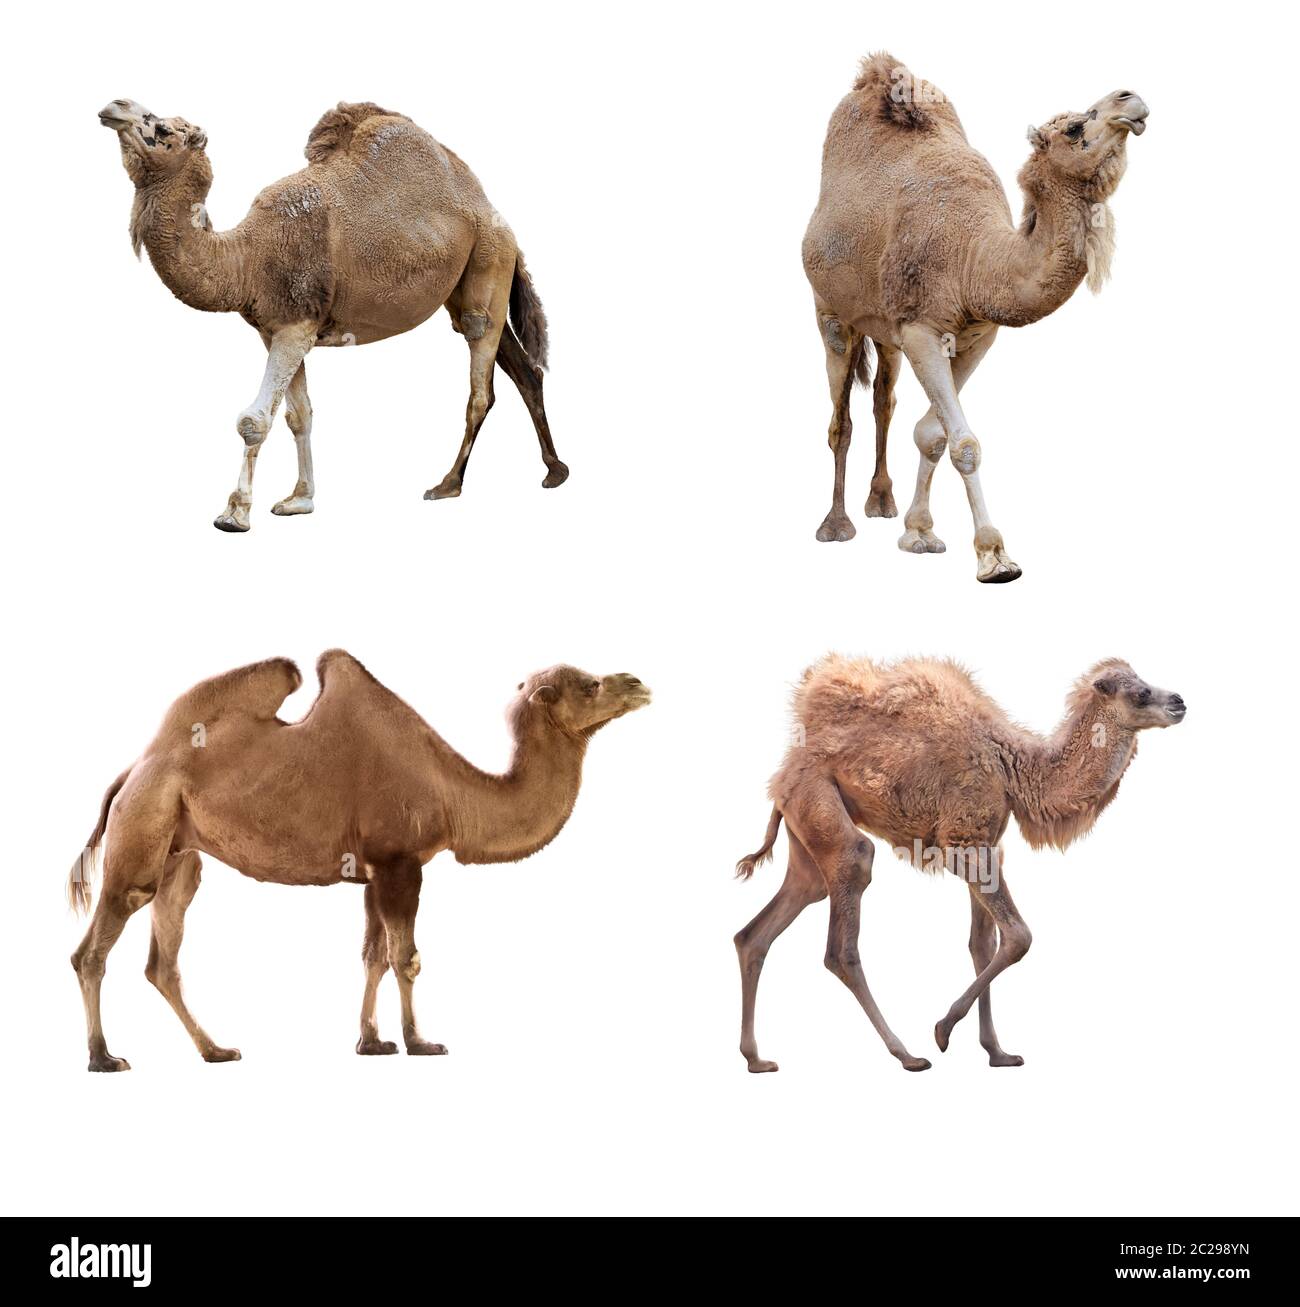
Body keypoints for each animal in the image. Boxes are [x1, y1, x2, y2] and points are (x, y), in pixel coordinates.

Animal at [67, 652, 650, 1071]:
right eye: (590, 685)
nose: (638, 683)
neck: (453, 793)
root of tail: (131, 772)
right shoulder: (401, 864)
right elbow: (406, 957)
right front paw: (420, 1042)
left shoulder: (371, 872)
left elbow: (373, 956)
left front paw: (371, 1042)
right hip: (142, 829)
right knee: (96, 944)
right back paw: (103, 1058)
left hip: (180, 854)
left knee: (163, 957)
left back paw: (216, 1051)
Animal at [98, 99, 566, 531]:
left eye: (162, 128)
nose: (114, 107)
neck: (248, 258)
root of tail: (492, 212)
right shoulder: (277, 329)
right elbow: (298, 415)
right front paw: (299, 499)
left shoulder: (296, 326)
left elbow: (254, 420)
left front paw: (235, 513)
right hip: (468, 283)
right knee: (525, 371)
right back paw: (554, 472)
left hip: (489, 258)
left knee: (479, 381)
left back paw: (447, 484)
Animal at [733, 656, 1184, 1072]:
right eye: (1140, 692)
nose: (1179, 701)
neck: (1015, 771)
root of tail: (783, 778)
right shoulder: (963, 843)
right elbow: (1018, 937)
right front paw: (943, 1029)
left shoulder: (987, 848)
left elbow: (981, 946)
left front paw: (997, 1053)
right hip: (825, 812)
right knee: (842, 937)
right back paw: (907, 1055)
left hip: (806, 834)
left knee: (758, 931)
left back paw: (756, 1058)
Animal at [802, 55, 1149, 582]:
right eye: (1074, 126)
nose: (1130, 98)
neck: (978, 261)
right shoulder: (922, 329)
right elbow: (963, 443)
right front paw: (994, 555)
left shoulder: (976, 336)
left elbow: (932, 435)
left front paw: (919, 532)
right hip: (830, 311)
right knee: (840, 419)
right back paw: (836, 525)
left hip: (884, 328)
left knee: (884, 397)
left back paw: (881, 502)